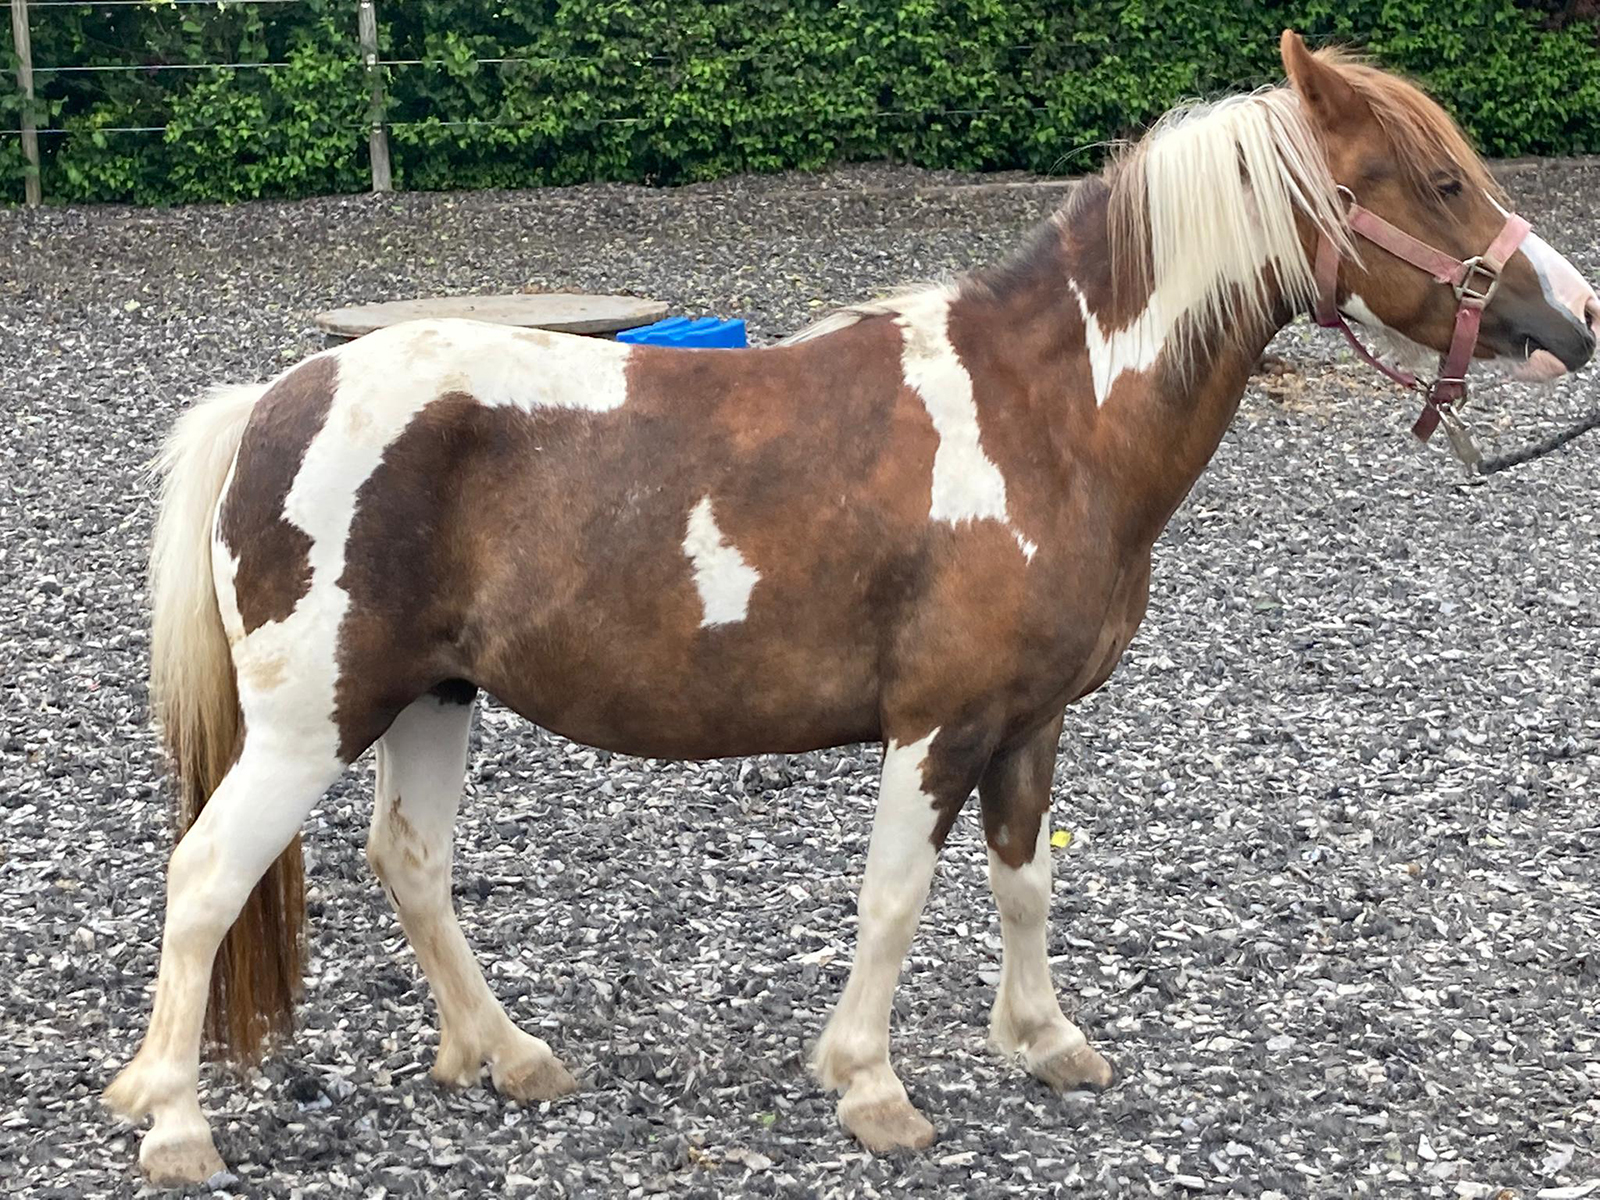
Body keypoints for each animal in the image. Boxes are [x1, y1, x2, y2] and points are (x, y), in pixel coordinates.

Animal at [104, 31, 1599, 1184]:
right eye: (1441, 180)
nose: (1578, 318)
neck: (1046, 421)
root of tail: (277, 399)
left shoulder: (1030, 722)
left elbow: (1024, 880)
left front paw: (1044, 1043)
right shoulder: (936, 725)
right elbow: (893, 898)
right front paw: (872, 1090)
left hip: (431, 697)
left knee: (409, 864)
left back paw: (511, 1058)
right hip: (311, 723)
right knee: (204, 881)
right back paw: (176, 1127)